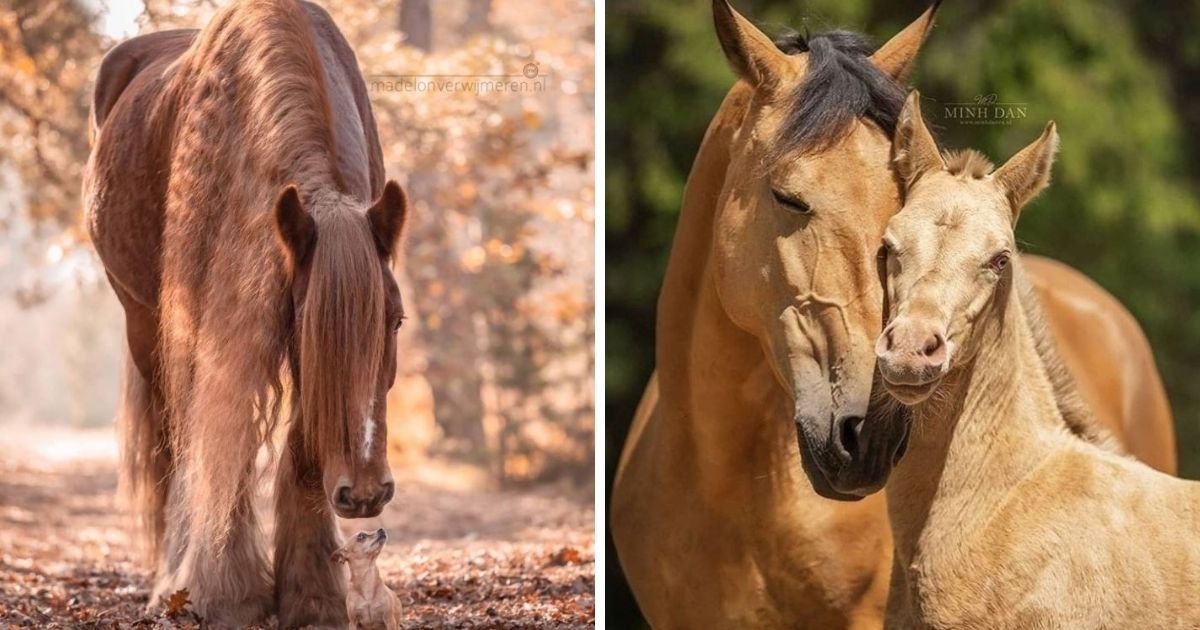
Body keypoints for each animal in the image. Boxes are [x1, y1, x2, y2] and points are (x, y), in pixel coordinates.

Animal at [83, 1, 407, 626]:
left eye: (396, 321)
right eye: (304, 325)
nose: (364, 495)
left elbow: (304, 446)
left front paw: (314, 597)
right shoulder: (215, 326)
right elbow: (219, 441)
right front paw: (230, 595)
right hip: (142, 320)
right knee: (172, 444)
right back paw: (170, 579)